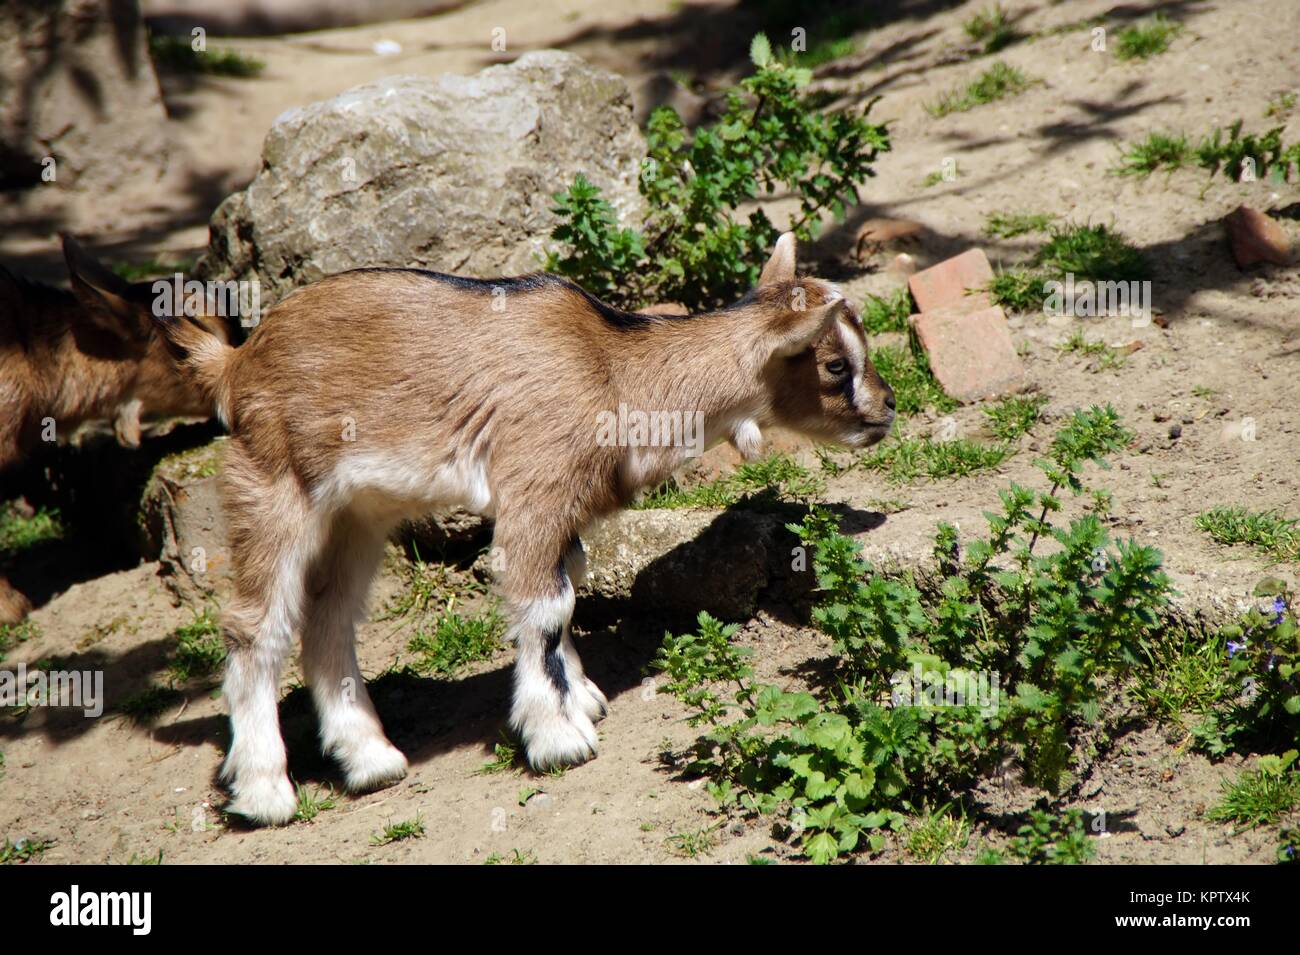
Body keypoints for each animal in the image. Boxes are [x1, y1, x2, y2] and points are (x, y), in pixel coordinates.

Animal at [154, 232, 896, 825]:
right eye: (835, 365)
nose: (888, 408)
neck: (611, 367)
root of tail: (235, 363)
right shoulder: (535, 492)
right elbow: (544, 608)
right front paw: (559, 738)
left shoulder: (562, 509)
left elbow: (565, 597)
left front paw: (582, 699)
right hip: (272, 486)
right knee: (257, 626)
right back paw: (264, 791)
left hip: (355, 514)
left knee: (329, 617)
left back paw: (371, 759)